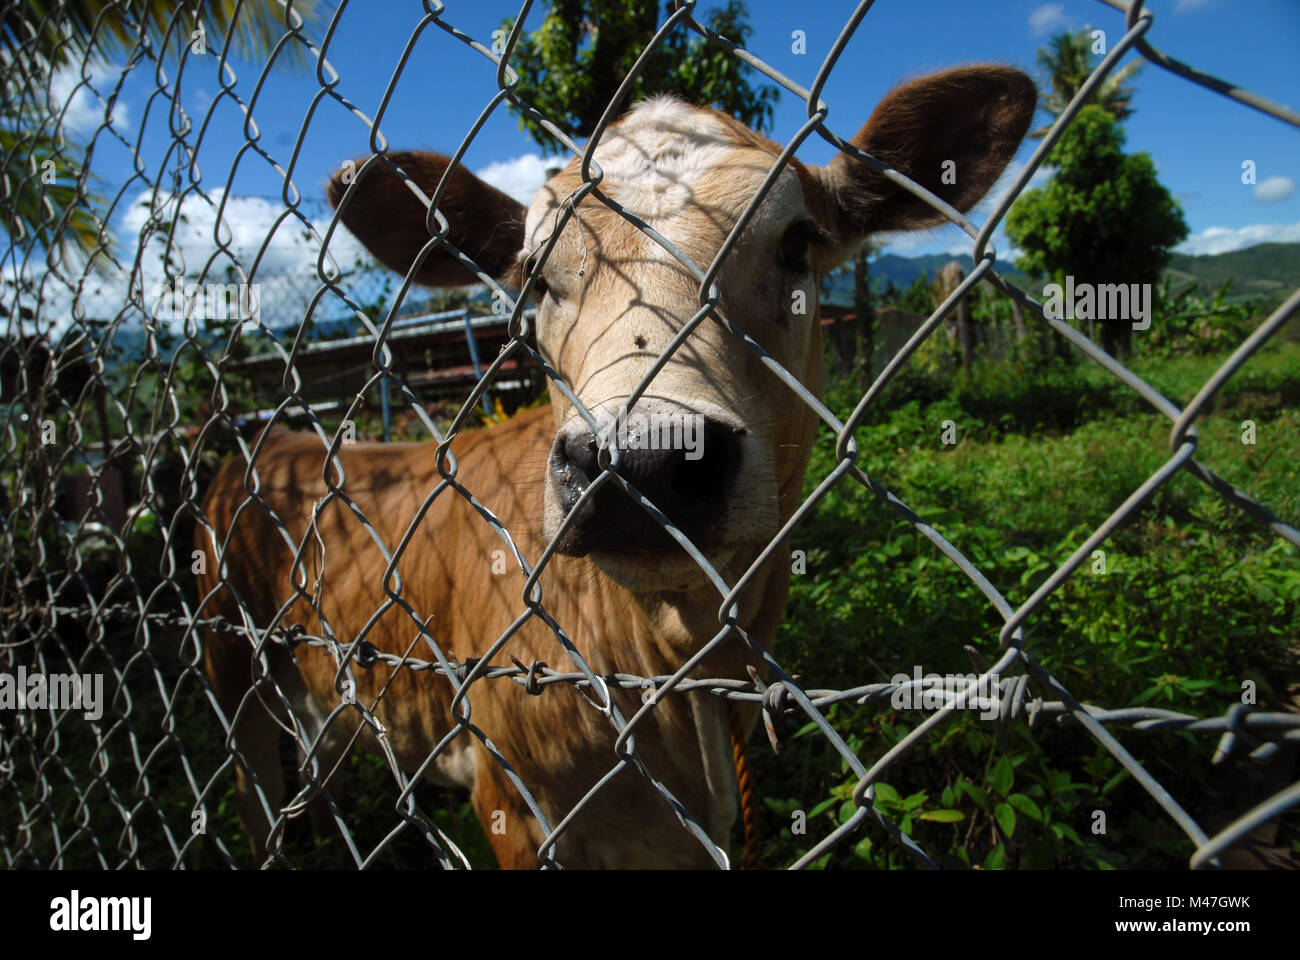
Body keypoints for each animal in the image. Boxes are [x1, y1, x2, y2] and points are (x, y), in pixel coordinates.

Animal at [195, 65, 1037, 868]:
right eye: (534, 274)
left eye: (797, 243)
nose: (645, 461)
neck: (677, 671)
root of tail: (271, 443)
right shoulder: (513, 808)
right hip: (229, 666)